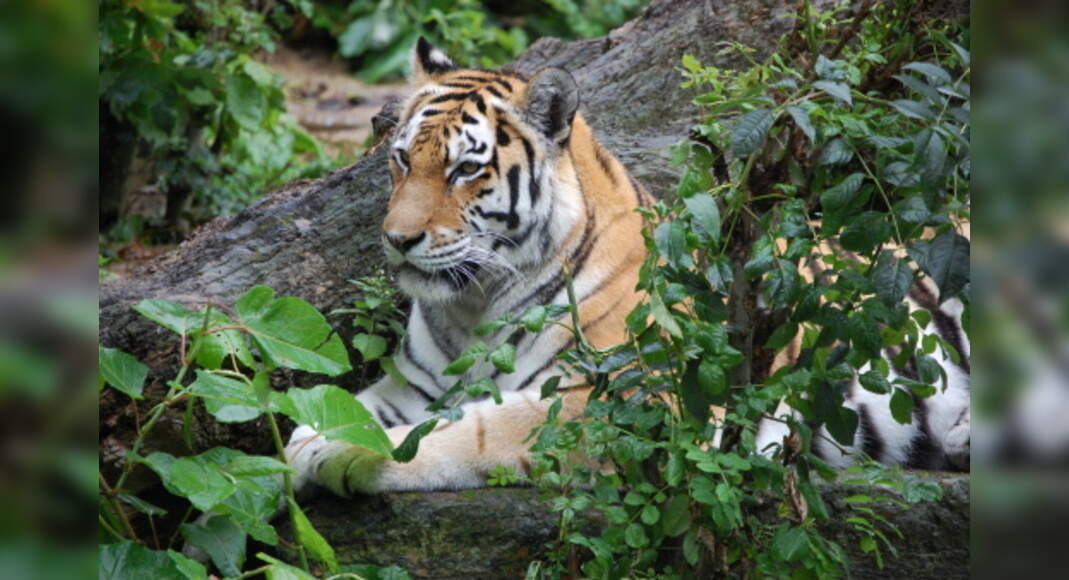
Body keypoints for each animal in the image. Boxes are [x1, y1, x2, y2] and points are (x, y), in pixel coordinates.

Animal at [284, 39, 970, 497]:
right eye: (402, 159)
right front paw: (304, 438)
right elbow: (348, 404)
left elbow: (468, 429)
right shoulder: (405, 389)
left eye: (465, 169)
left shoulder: (631, 405)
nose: (397, 239)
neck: (471, 306)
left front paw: (330, 446)